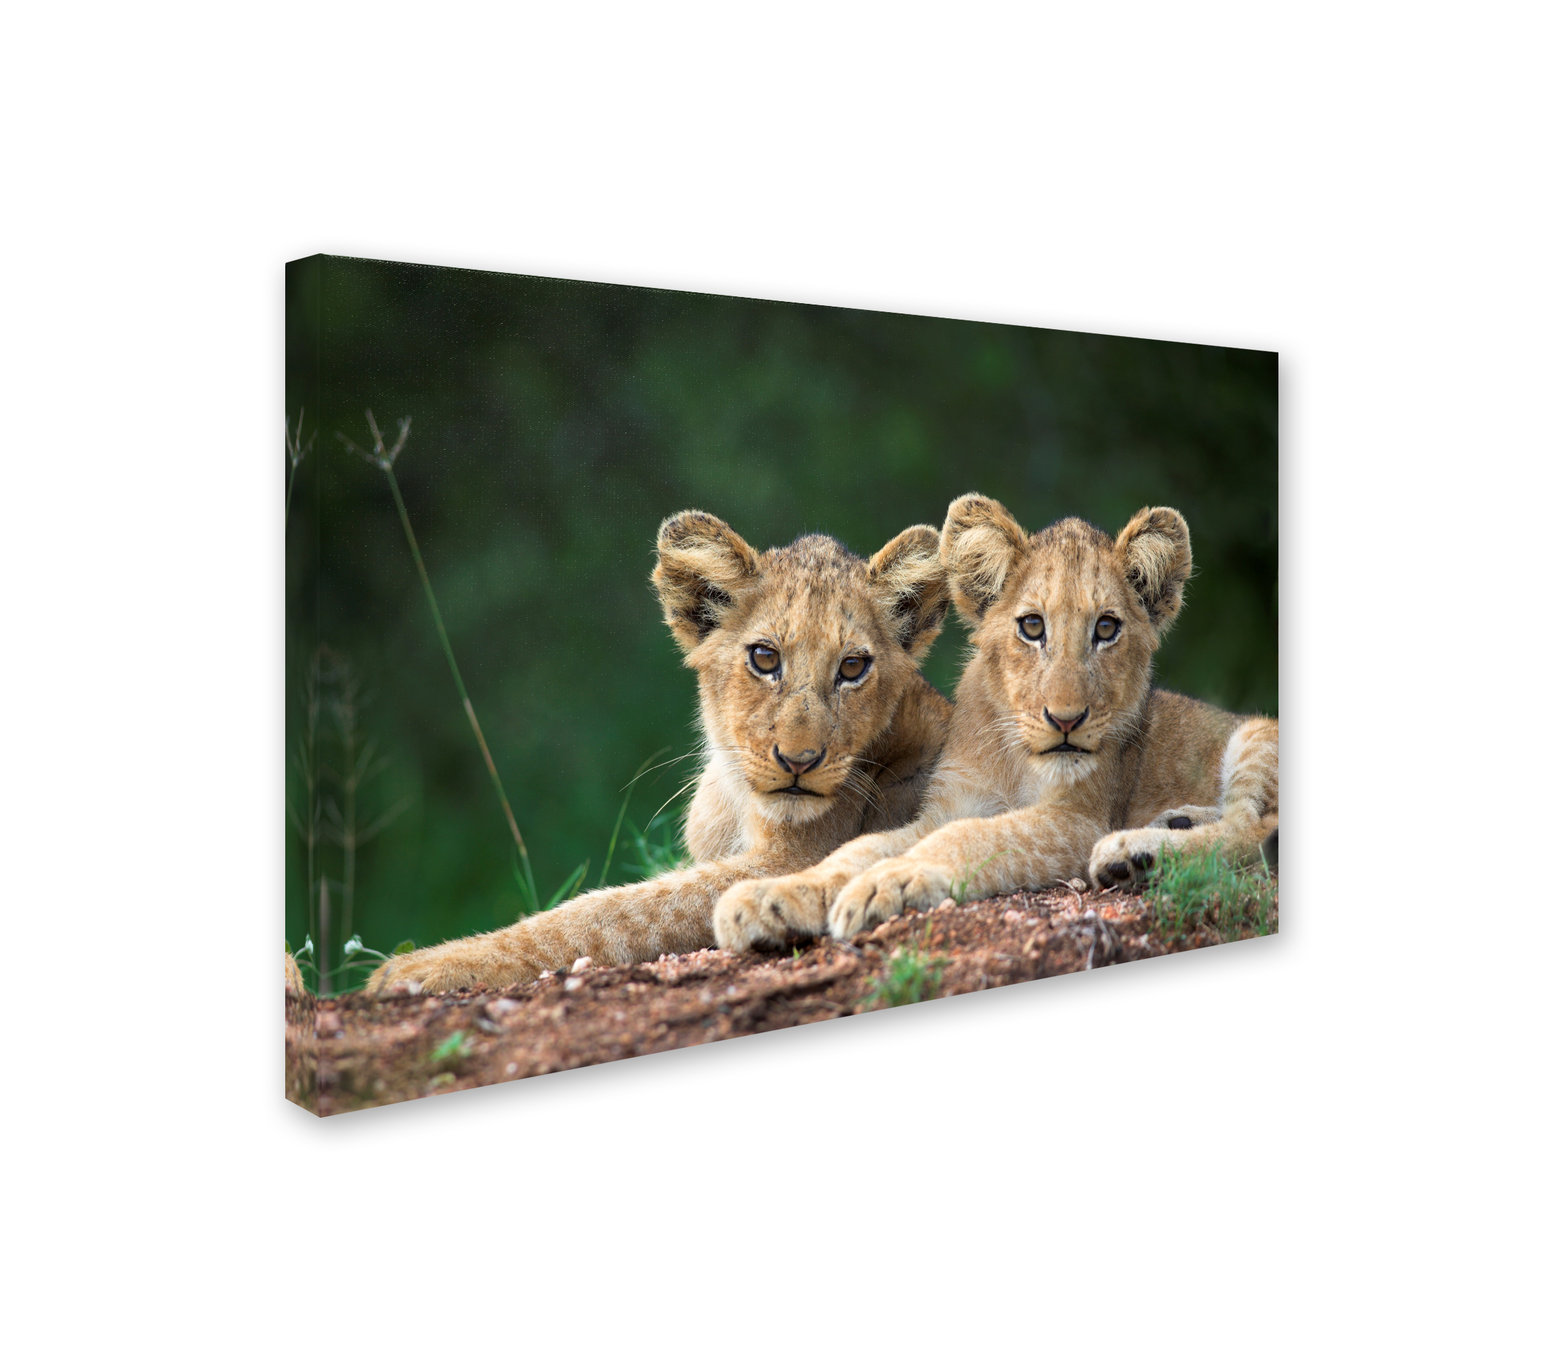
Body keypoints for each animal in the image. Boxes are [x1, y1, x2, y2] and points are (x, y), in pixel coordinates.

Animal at [366, 510, 953, 994]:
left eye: (853, 667)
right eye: (765, 658)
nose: (799, 761)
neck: (734, 793)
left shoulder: (795, 859)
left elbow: (606, 913)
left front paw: (421, 966)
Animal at [713, 494, 1277, 948]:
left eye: (1106, 628)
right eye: (1032, 627)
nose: (1066, 719)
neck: (1016, 758)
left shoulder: (1076, 821)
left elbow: (973, 838)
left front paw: (888, 883)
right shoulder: (946, 806)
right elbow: (859, 849)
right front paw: (772, 897)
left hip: (1259, 734)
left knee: (1253, 829)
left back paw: (1135, 854)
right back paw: (1172, 824)